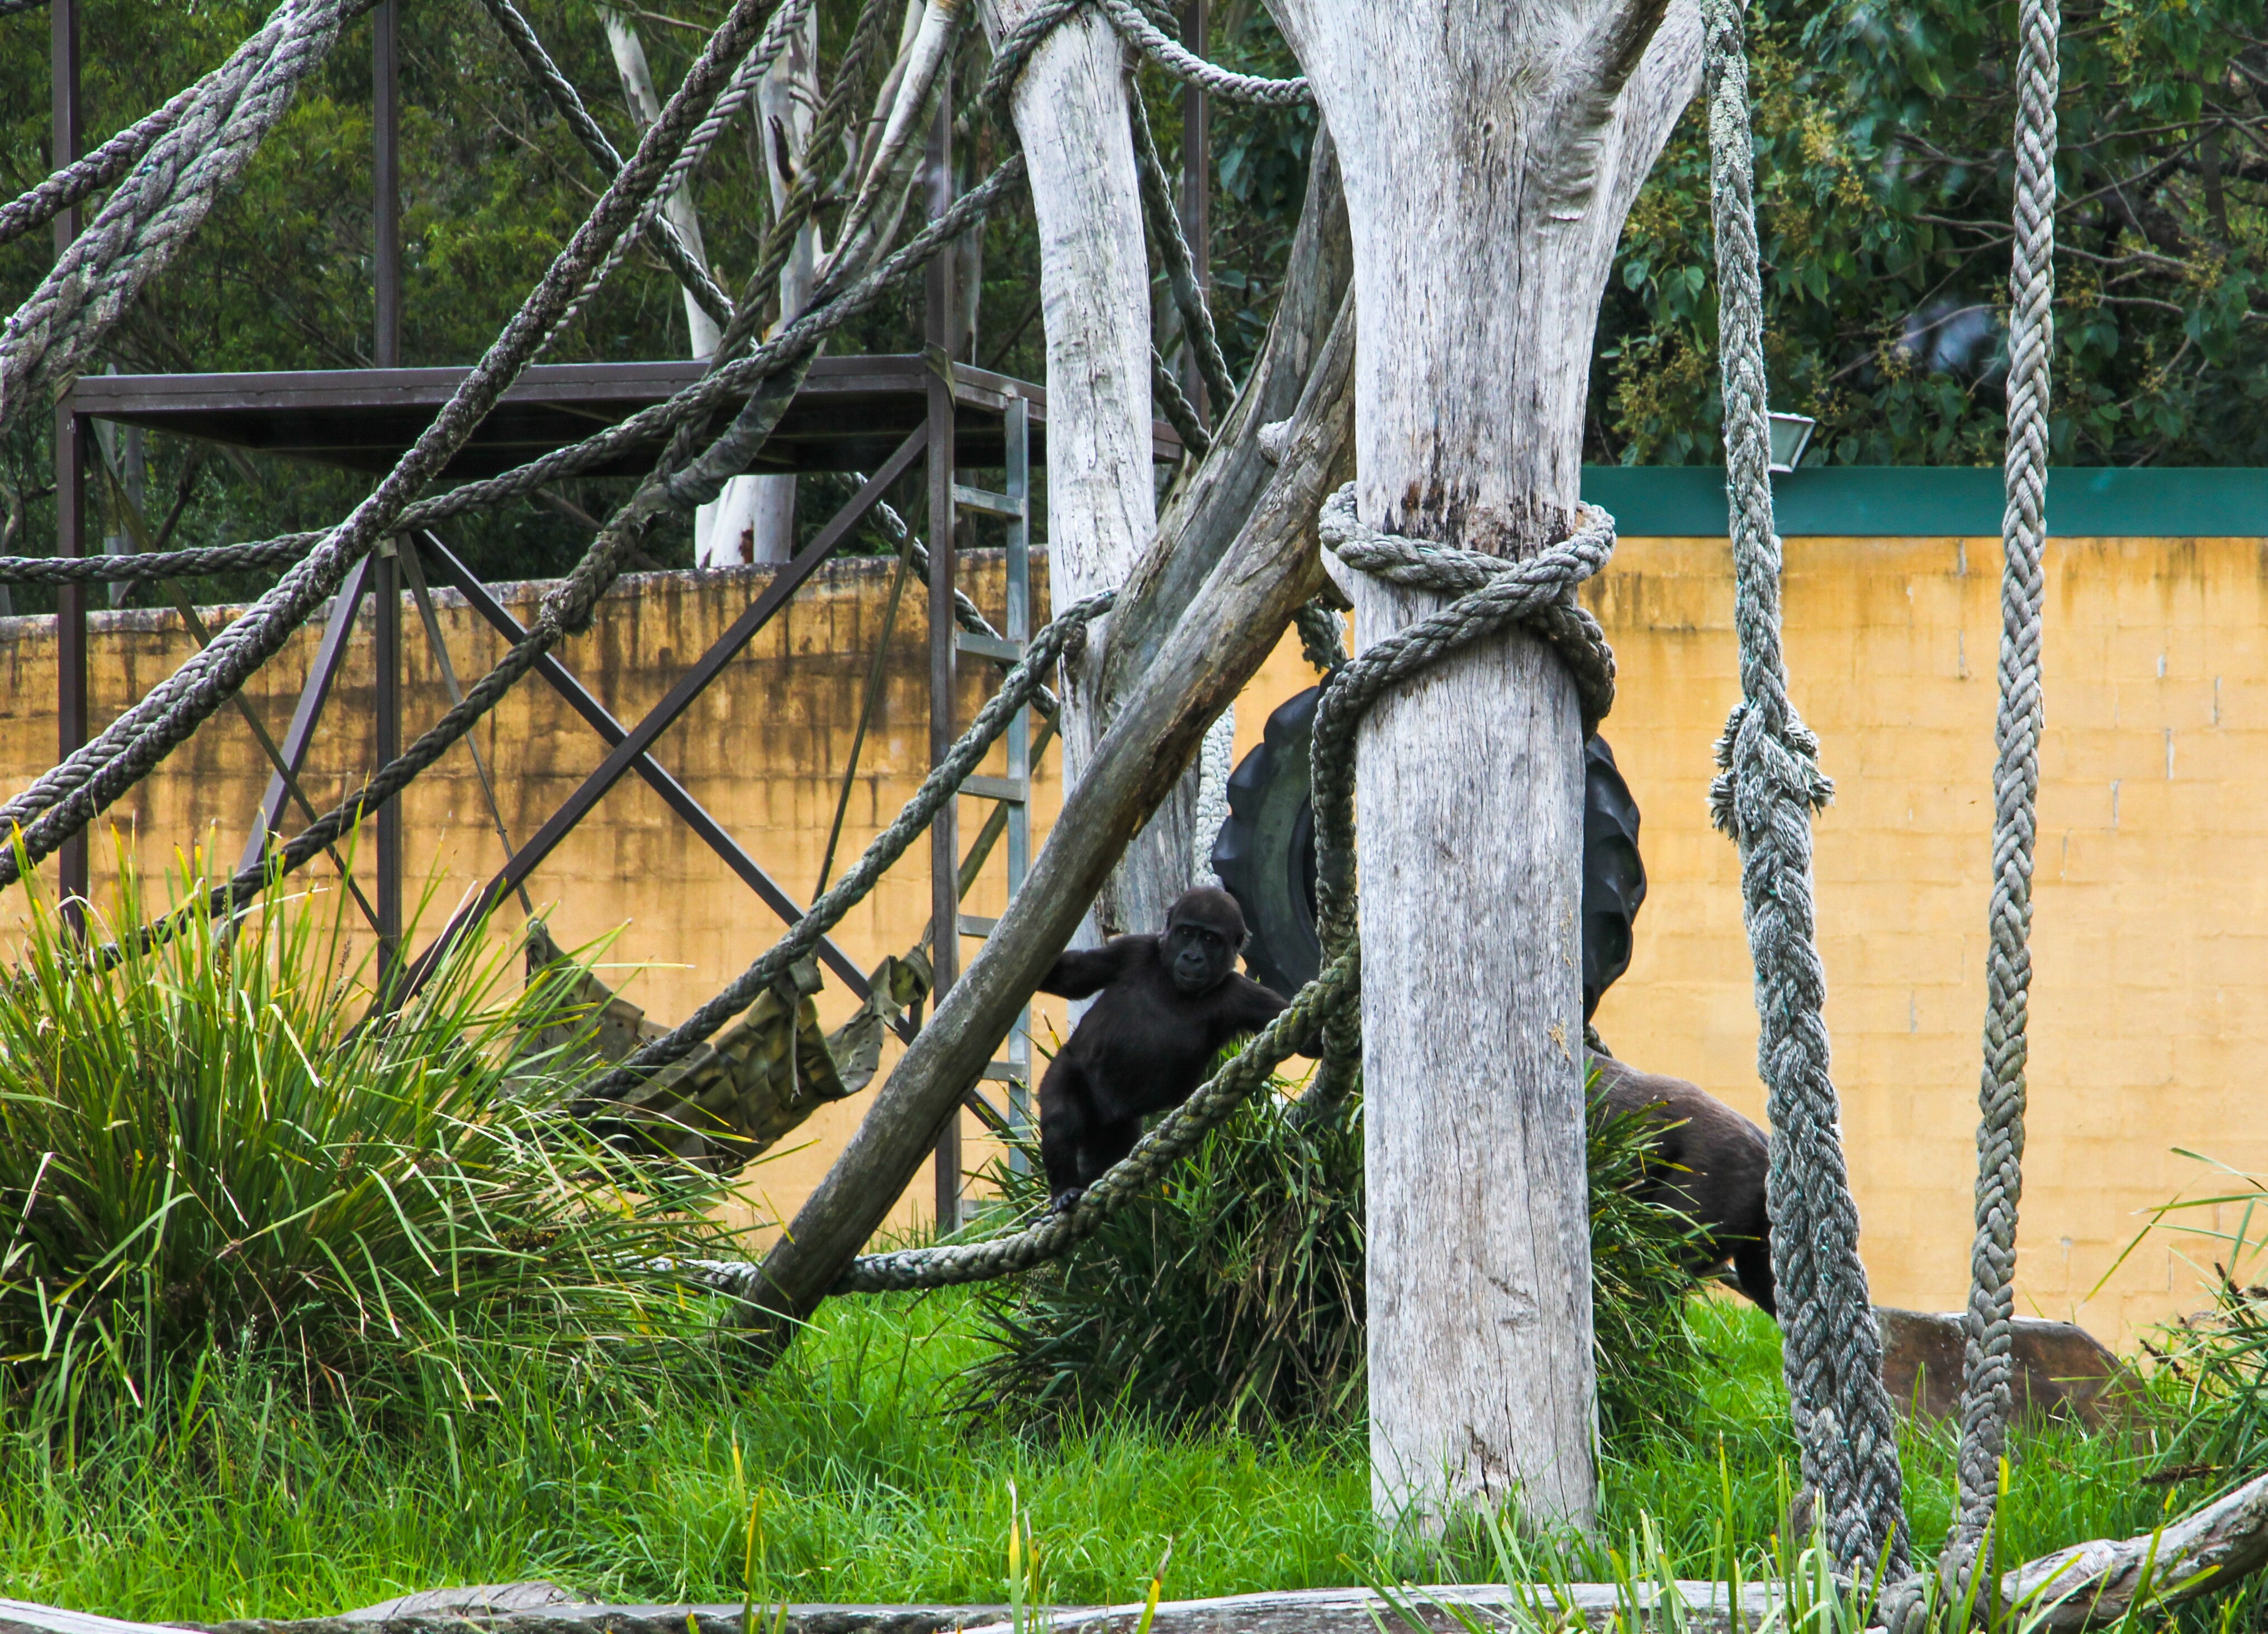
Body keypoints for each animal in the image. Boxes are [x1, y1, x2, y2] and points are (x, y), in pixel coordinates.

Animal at [1034, 888, 1293, 1212]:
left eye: (1210, 939)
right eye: (1187, 933)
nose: (1193, 957)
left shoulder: (1241, 994)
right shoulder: (1134, 949)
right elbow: (1072, 977)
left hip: (1119, 1126)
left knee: (1105, 1153)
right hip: (1073, 1067)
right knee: (1061, 1111)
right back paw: (1064, 1189)